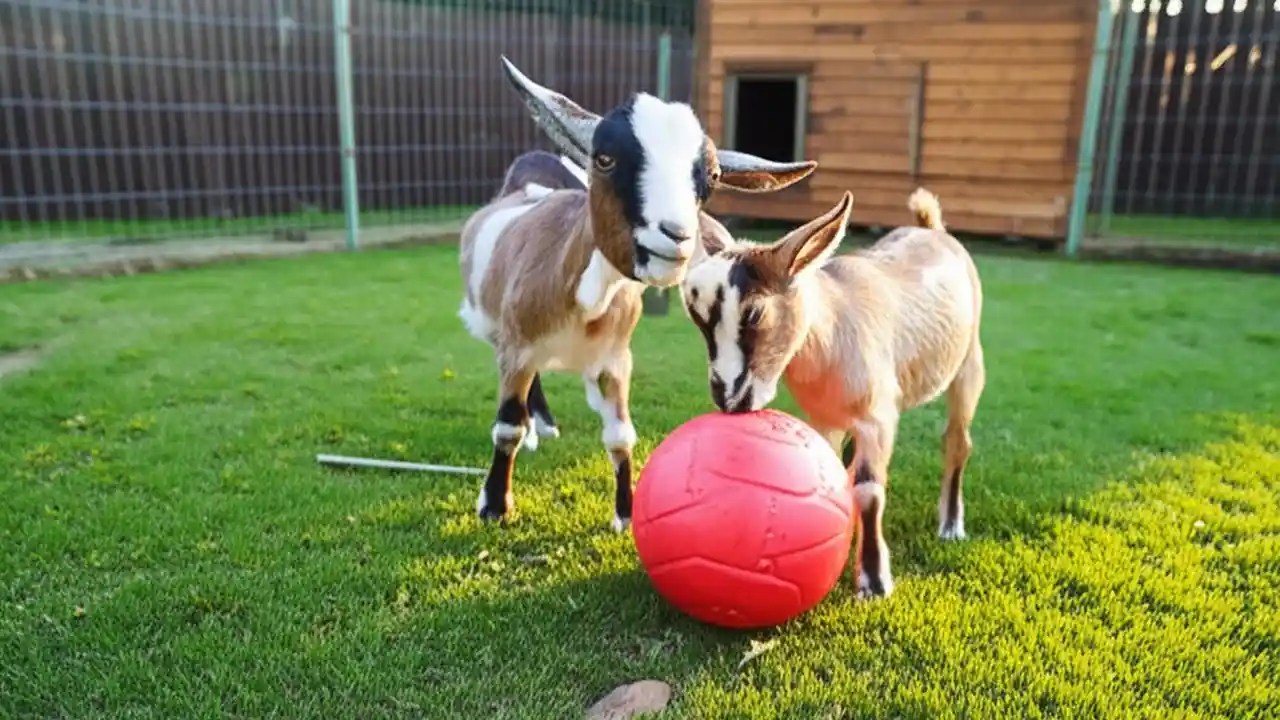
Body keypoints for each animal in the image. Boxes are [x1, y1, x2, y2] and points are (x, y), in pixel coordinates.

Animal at [458, 56, 818, 530]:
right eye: (605, 159)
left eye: (712, 176)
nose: (677, 236)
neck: (586, 298)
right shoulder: (517, 347)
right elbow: (507, 427)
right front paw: (495, 506)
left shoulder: (616, 359)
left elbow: (620, 435)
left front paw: (626, 515)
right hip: (494, 332)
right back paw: (538, 426)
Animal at [678, 189, 986, 597]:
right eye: (696, 317)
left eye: (754, 314)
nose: (729, 398)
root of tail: (931, 228)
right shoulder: (823, 421)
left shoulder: (877, 418)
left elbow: (868, 490)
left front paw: (874, 582)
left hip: (968, 363)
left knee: (957, 441)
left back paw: (950, 525)